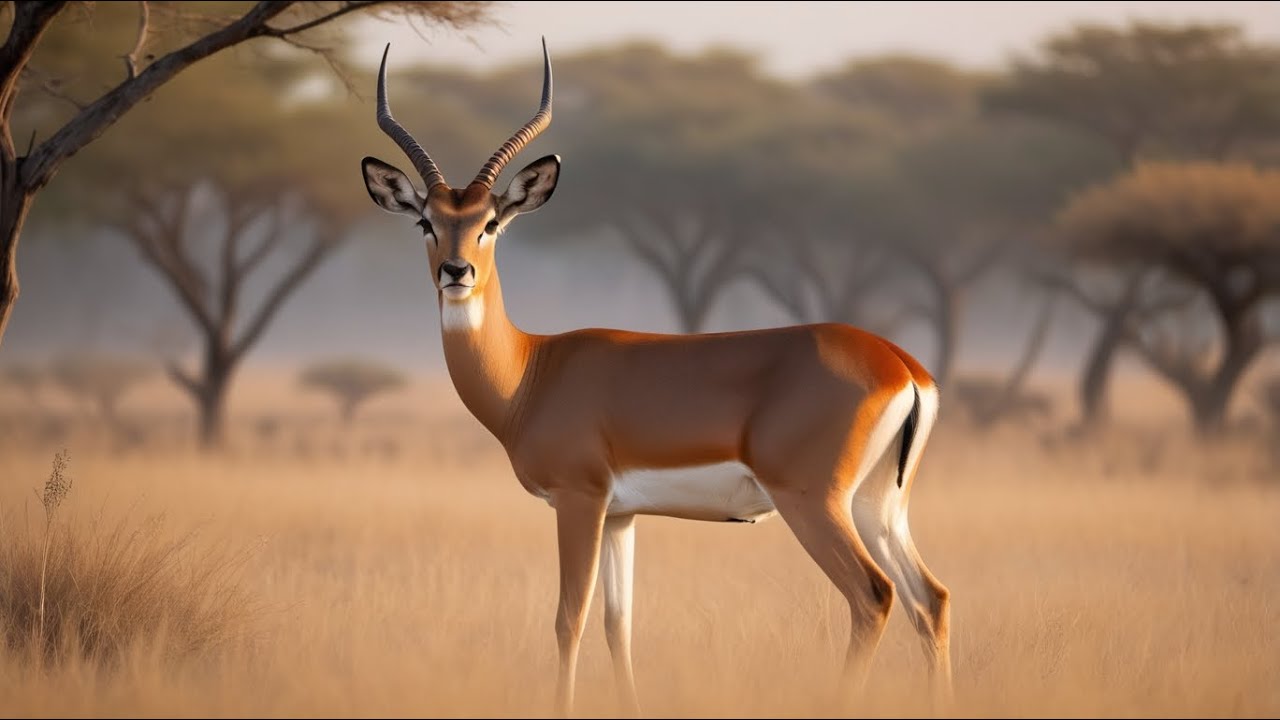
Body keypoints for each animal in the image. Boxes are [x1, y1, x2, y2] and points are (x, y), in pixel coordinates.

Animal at [360, 41, 952, 716]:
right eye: (426, 222)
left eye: (491, 222)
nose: (456, 272)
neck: (533, 372)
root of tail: (899, 363)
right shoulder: (622, 516)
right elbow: (618, 624)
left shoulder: (580, 500)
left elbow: (569, 619)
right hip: (880, 504)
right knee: (929, 599)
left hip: (814, 502)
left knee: (873, 596)